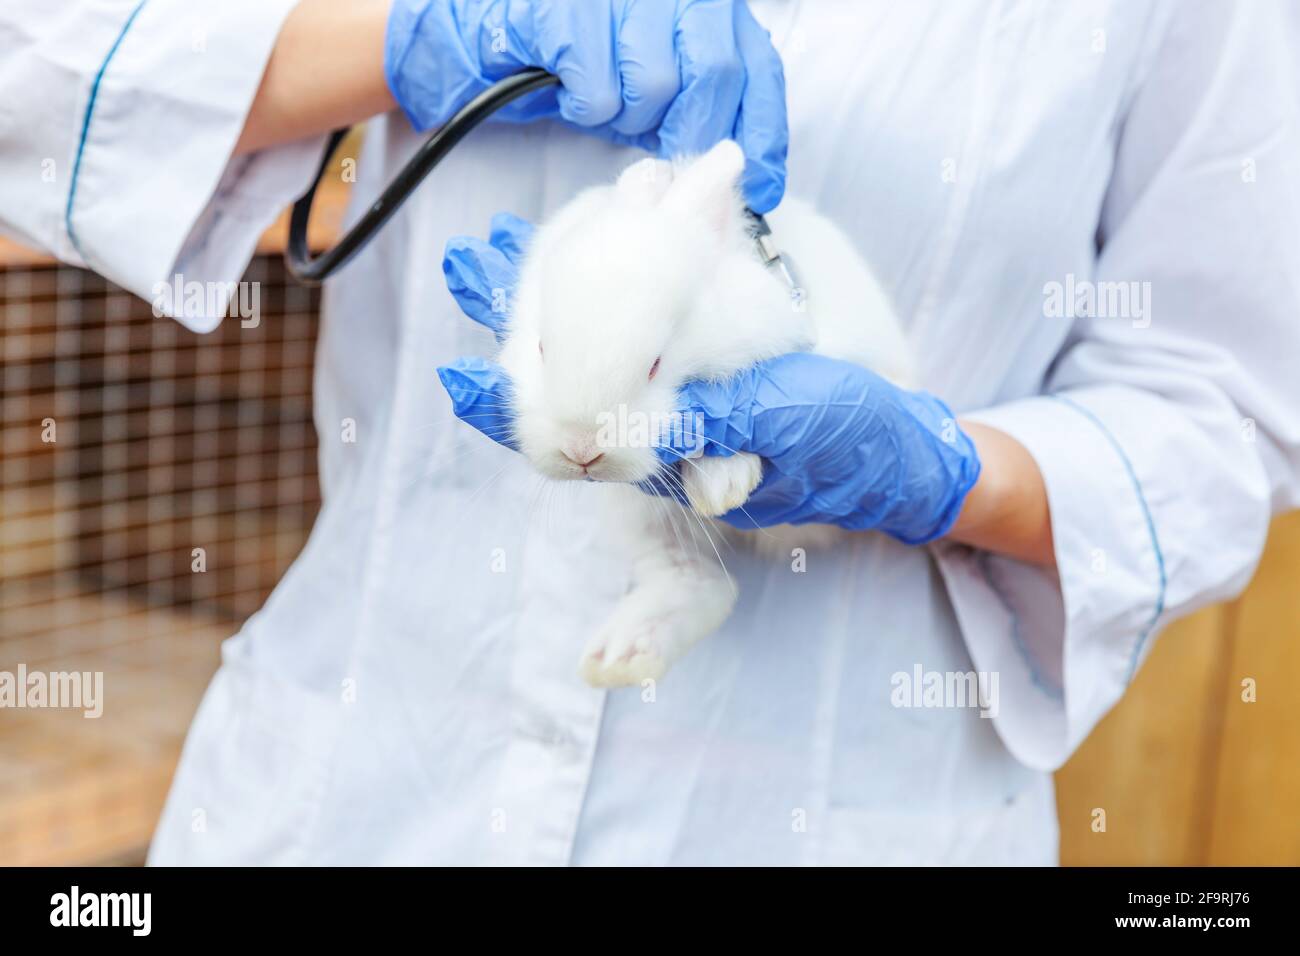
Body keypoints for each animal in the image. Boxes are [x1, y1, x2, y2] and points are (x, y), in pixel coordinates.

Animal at [497, 140, 914, 688]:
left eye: (655, 364)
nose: (582, 452)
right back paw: (624, 656)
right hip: (638, 513)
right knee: (702, 584)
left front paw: (723, 483)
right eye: (542, 348)